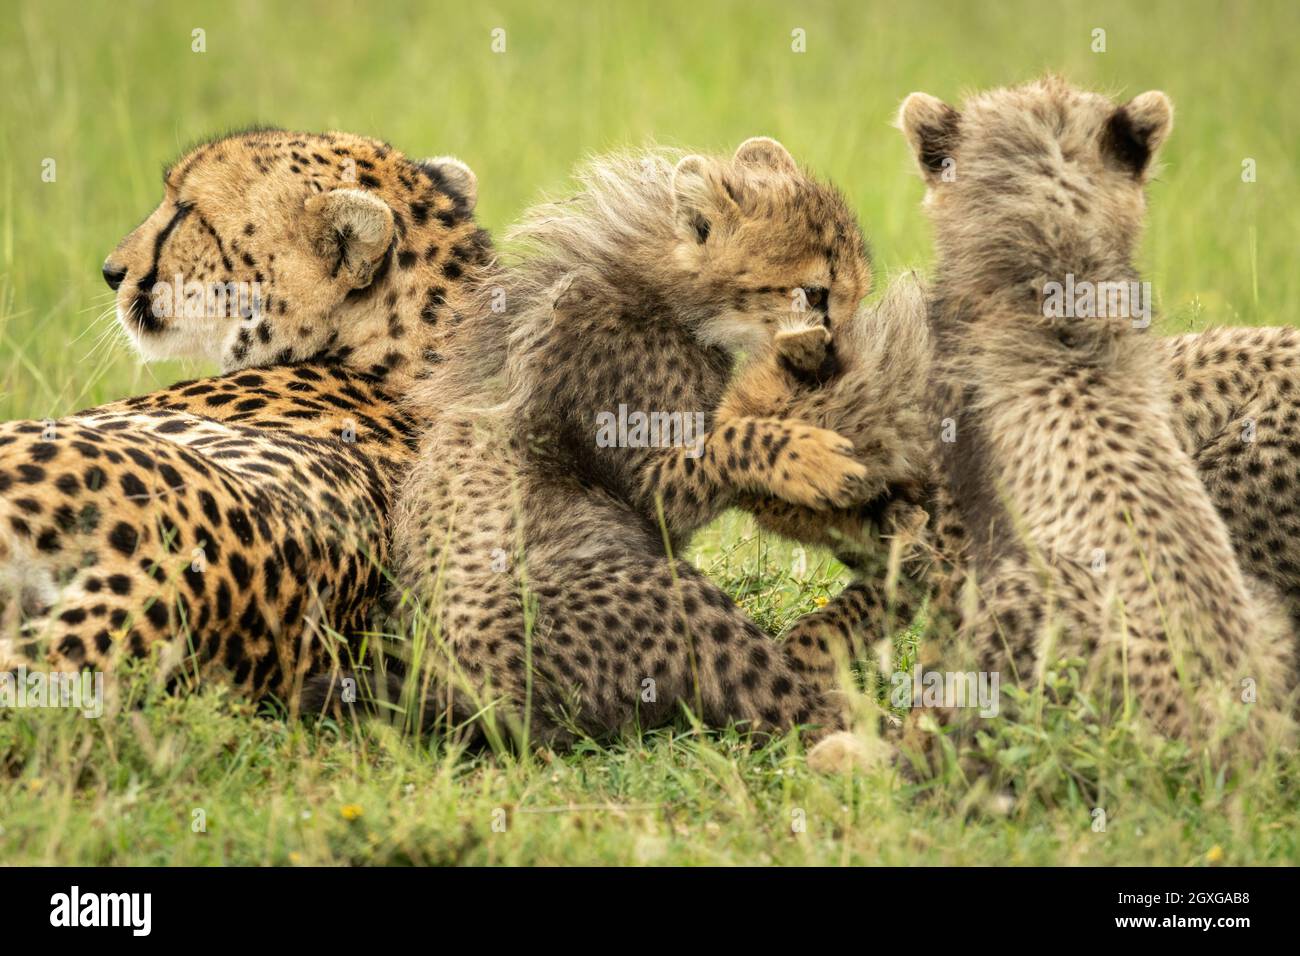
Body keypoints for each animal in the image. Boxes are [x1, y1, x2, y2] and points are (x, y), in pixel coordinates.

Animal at [335, 138, 881, 748]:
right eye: (813, 293)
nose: (842, 356)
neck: (663, 296)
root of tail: (464, 698)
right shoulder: (650, 481)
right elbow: (731, 440)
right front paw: (814, 456)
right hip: (651, 597)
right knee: (785, 703)